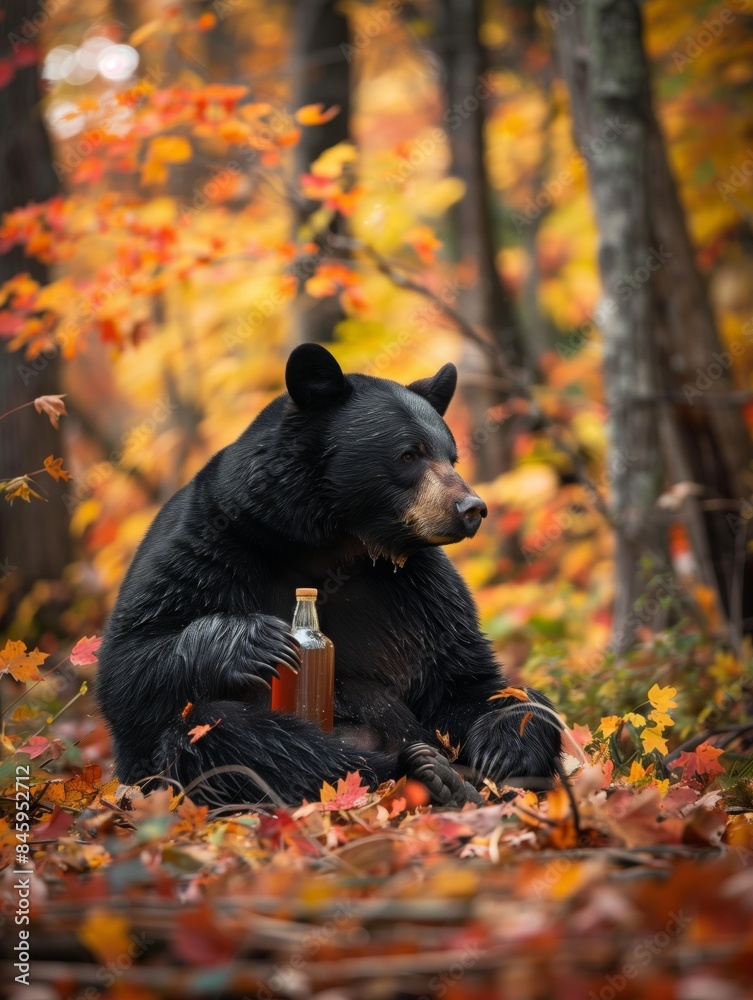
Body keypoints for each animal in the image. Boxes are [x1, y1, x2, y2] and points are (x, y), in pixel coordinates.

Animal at [97, 343, 562, 807]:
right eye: (409, 454)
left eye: (451, 456)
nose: (472, 508)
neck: (330, 543)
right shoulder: (207, 545)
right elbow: (130, 666)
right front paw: (256, 640)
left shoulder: (421, 590)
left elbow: (465, 678)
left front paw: (505, 747)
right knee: (227, 734)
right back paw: (423, 774)